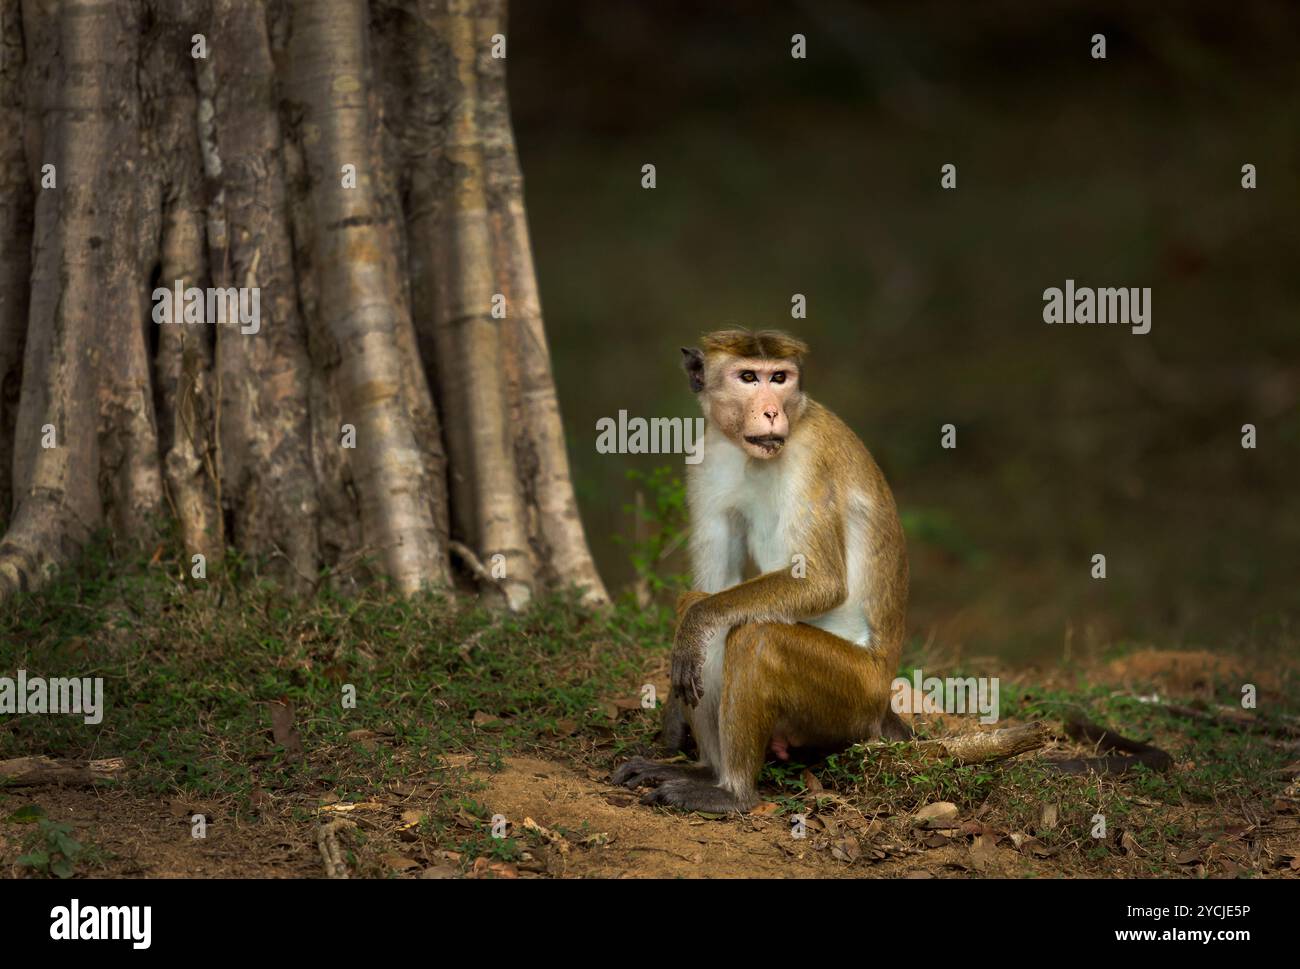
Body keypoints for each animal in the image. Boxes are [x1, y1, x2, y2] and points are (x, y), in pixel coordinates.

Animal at [612, 328, 910, 813]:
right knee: (710, 611)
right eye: (749, 377)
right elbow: (716, 587)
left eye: (780, 378)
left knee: (757, 637)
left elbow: (818, 581)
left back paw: (732, 793)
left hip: (855, 696)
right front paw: (674, 715)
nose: (771, 411)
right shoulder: (708, 457)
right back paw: (704, 772)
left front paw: (694, 630)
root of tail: (884, 702)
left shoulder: (810, 458)